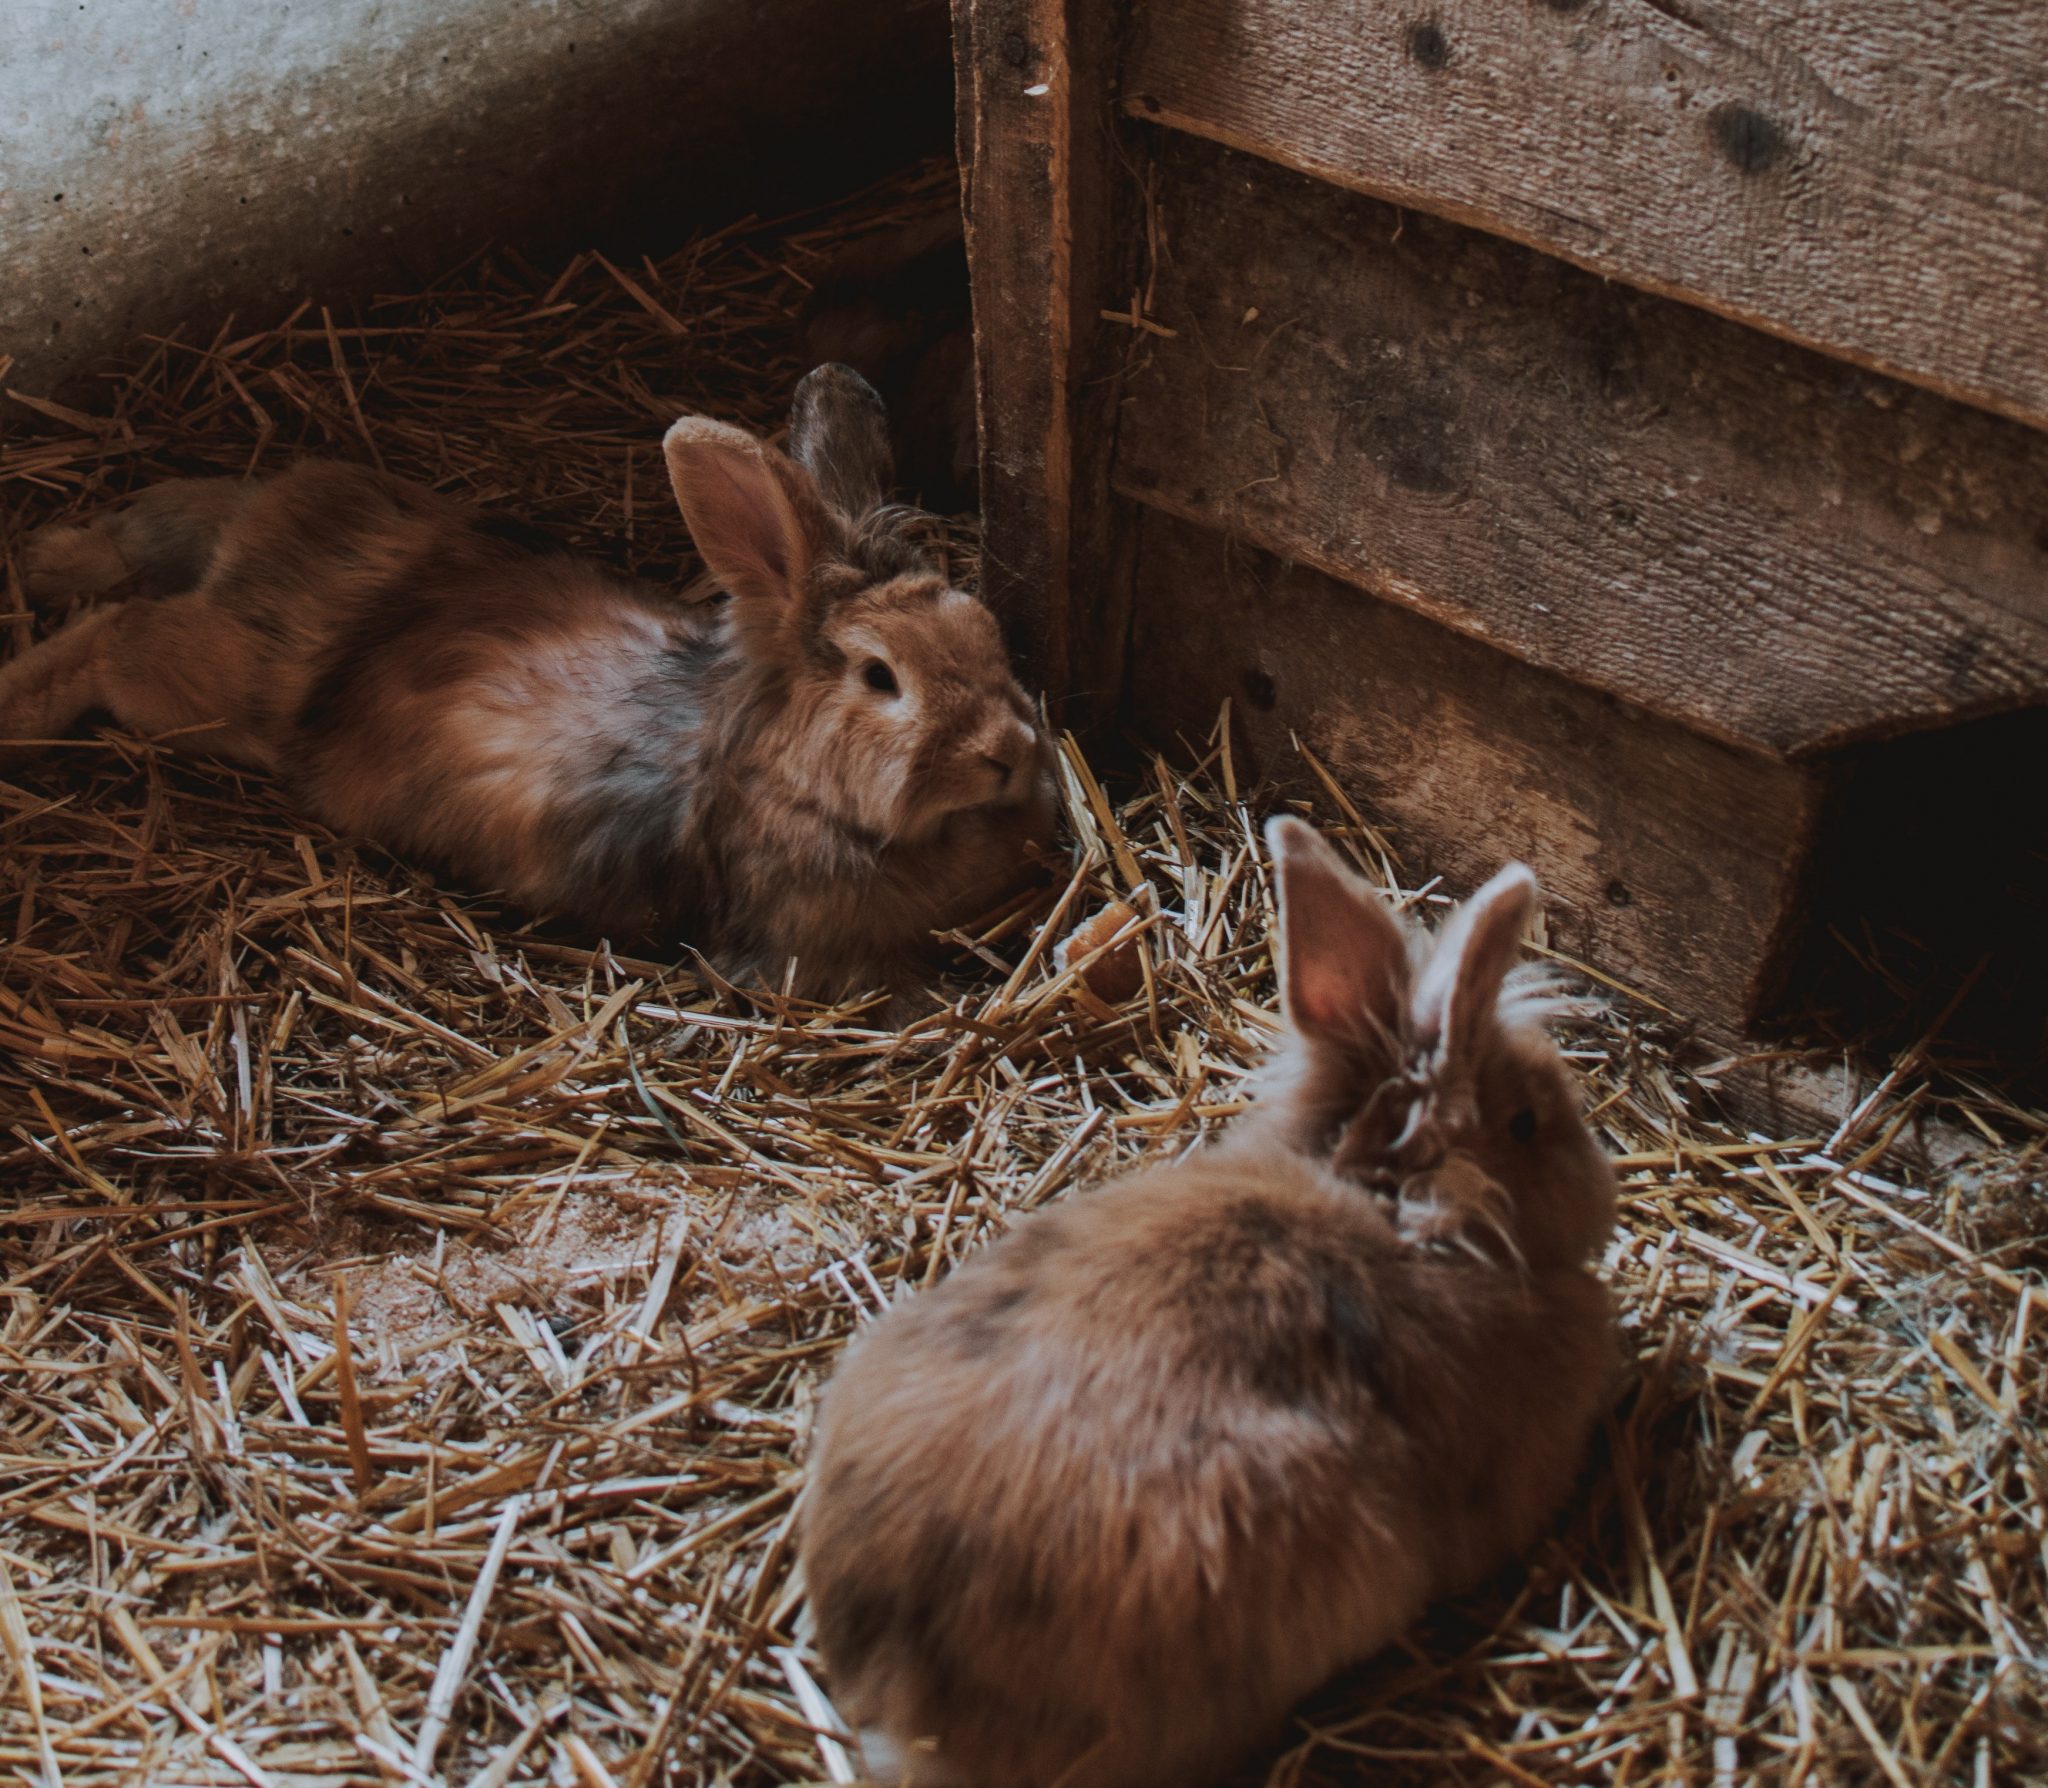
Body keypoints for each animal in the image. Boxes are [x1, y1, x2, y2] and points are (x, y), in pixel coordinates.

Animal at [0, 365, 1056, 1004]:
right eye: (881, 678)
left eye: (984, 635)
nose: (1007, 753)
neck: (789, 784)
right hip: (212, 688)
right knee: (117, 633)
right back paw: (20, 701)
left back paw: (46, 560)